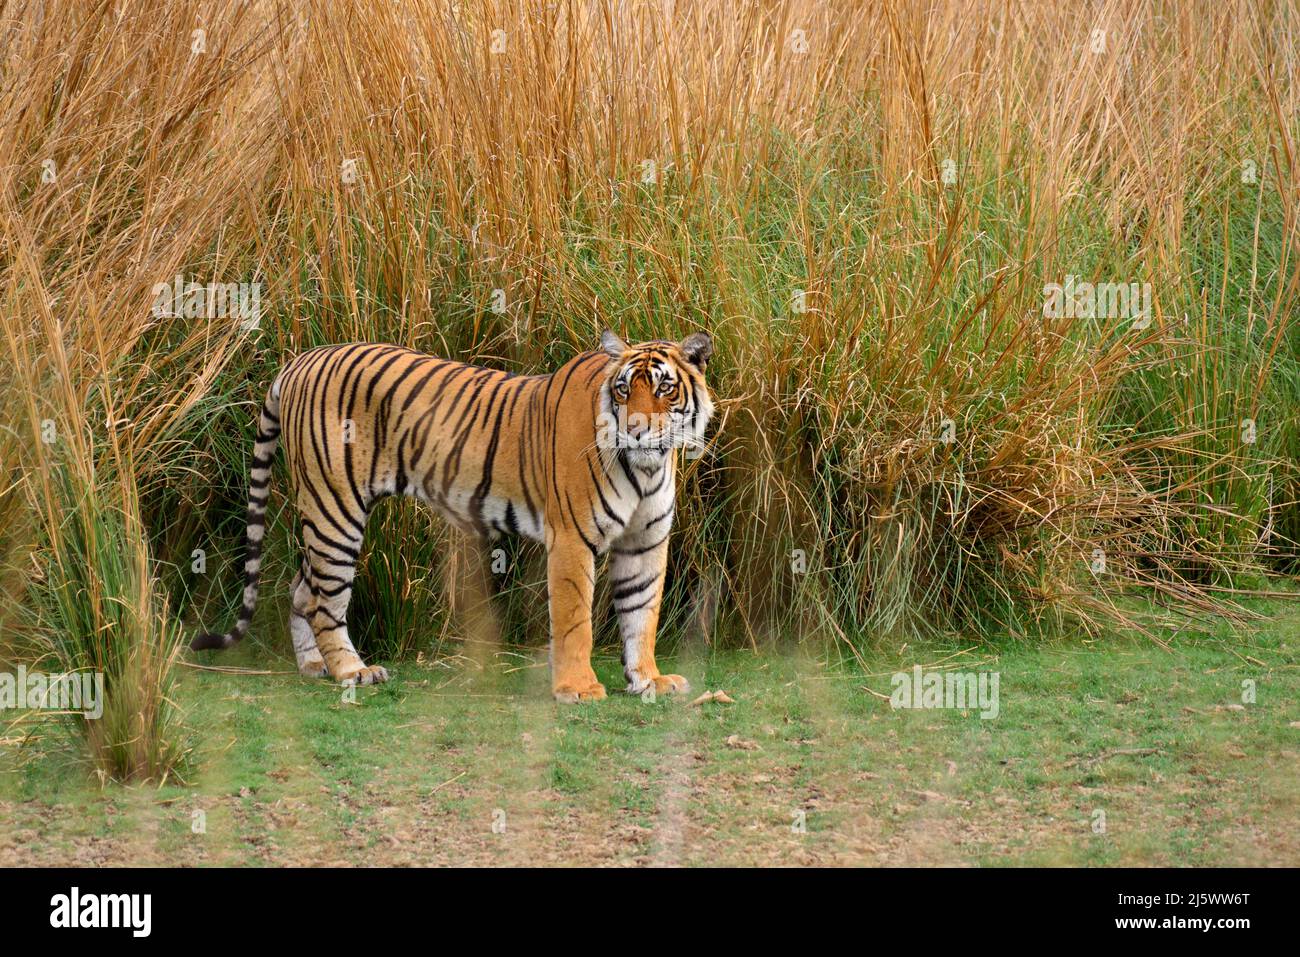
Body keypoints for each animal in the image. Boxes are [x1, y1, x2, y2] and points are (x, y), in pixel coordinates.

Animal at [192, 330, 715, 702]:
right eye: (624, 390)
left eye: (665, 389)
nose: (636, 431)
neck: (647, 466)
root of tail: (301, 360)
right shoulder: (572, 537)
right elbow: (574, 621)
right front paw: (578, 689)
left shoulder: (645, 542)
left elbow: (641, 614)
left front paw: (648, 680)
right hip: (334, 508)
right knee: (326, 599)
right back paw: (353, 671)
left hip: (325, 513)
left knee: (301, 588)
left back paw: (313, 666)